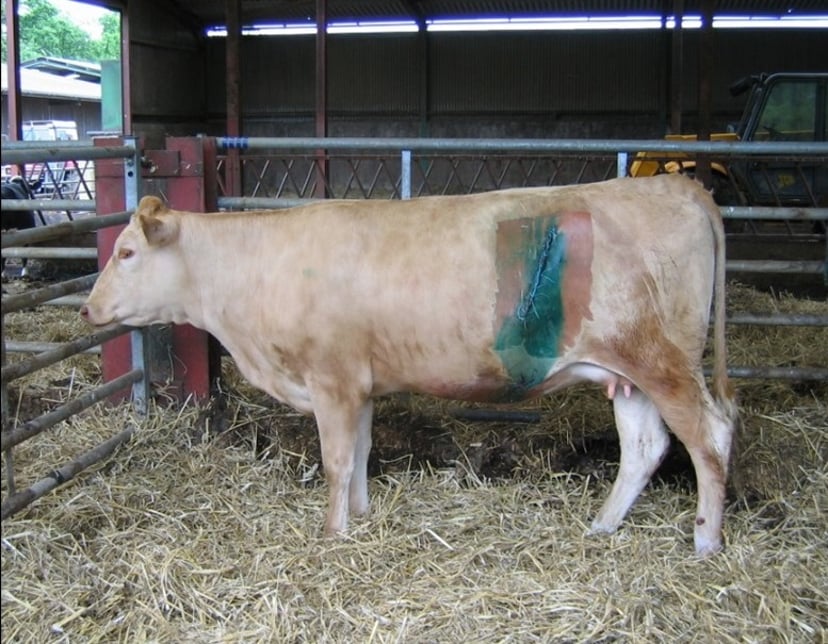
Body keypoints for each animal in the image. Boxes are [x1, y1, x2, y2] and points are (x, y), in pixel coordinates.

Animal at [80, 174, 738, 556]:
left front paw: (333, 534)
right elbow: (363, 450)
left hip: (664, 362)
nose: (87, 308)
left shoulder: (333, 379)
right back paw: (602, 526)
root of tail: (679, 186)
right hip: (627, 375)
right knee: (646, 446)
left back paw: (706, 540)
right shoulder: (361, 385)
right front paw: (362, 516)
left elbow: (336, 459)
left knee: (710, 436)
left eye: (127, 252)